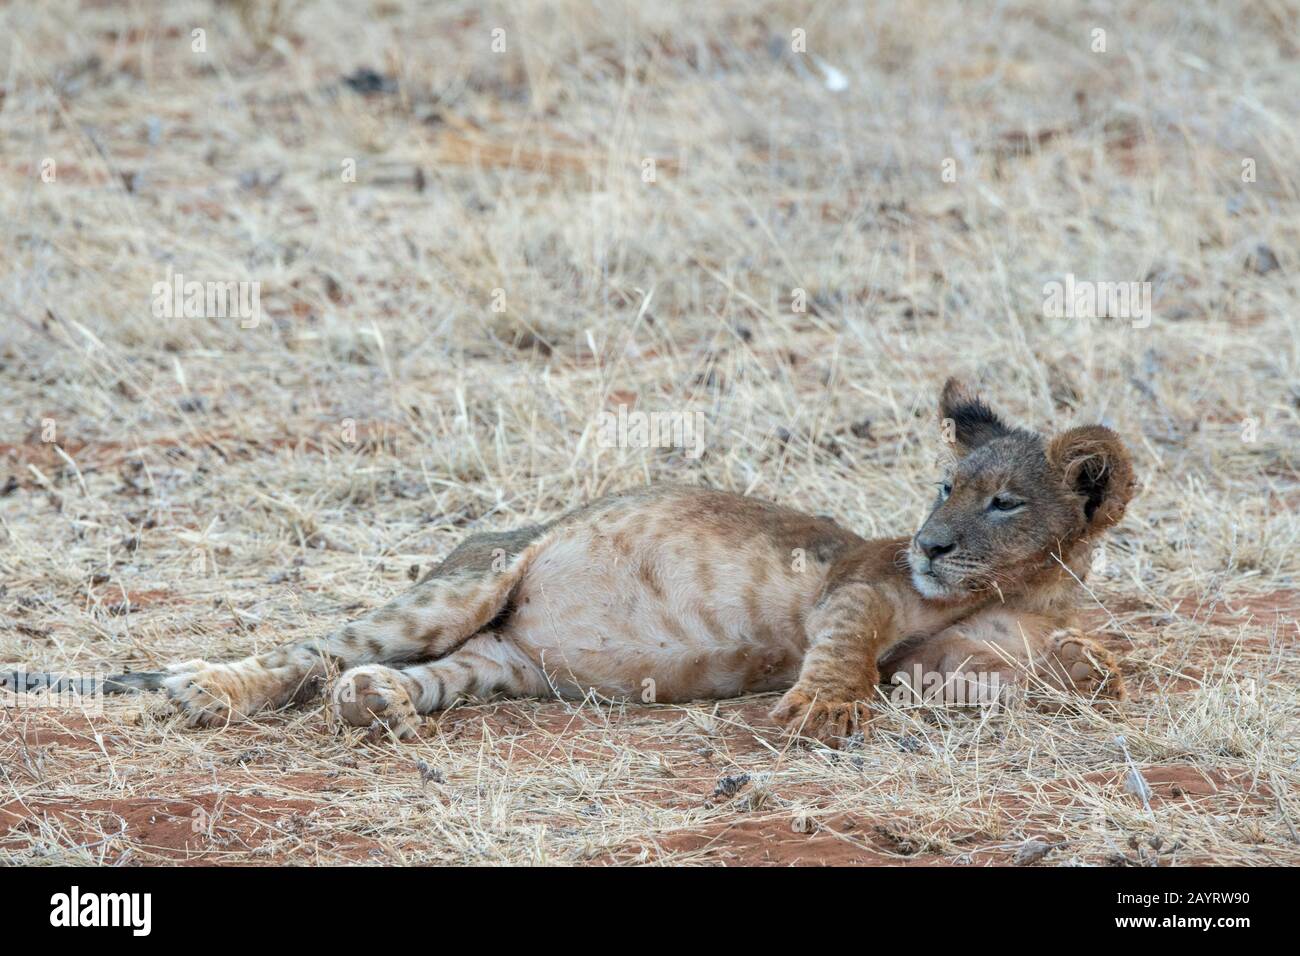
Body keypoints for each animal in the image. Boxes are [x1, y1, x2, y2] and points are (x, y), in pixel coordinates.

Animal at [5, 380, 1134, 745]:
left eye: (1003, 501)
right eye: (941, 489)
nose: (931, 545)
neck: (1021, 589)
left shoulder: (959, 665)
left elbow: (1062, 670)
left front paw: (1093, 664)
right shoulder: (856, 585)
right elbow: (847, 640)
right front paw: (820, 710)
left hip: (497, 663)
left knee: (395, 677)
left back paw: (376, 700)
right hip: (469, 581)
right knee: (308, 648)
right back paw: (209, 687)